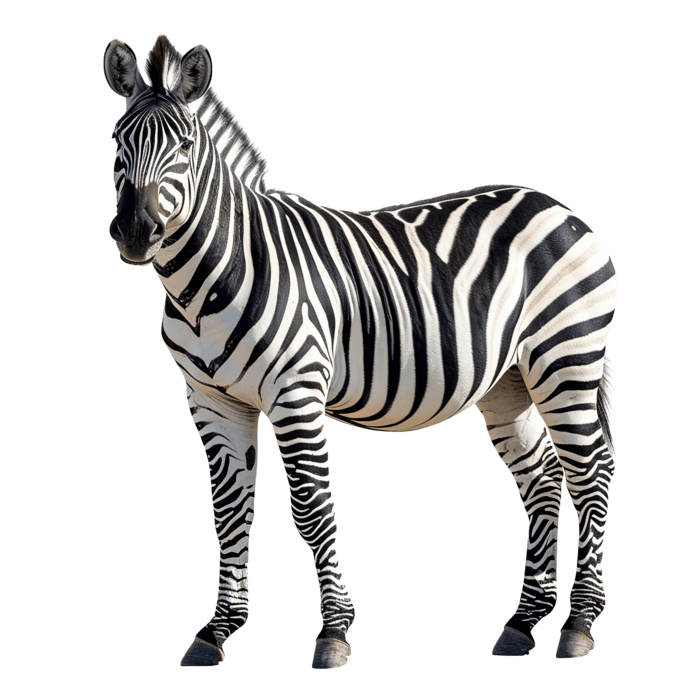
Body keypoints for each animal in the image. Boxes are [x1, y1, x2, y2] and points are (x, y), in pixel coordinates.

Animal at [103, 35, 618, 668]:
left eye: (185, 145)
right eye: (117, 141)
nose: (134, 230)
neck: (216, 272)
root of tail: (556, 205)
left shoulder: (296, 391)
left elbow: (310, 506)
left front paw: (334, 631)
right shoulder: (210, 399)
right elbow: (229, 509)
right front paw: (217, 630)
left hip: (565, 357)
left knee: (590, 473)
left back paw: (579, 623)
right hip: (510, 382)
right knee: (542, 477)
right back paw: (523, 622)